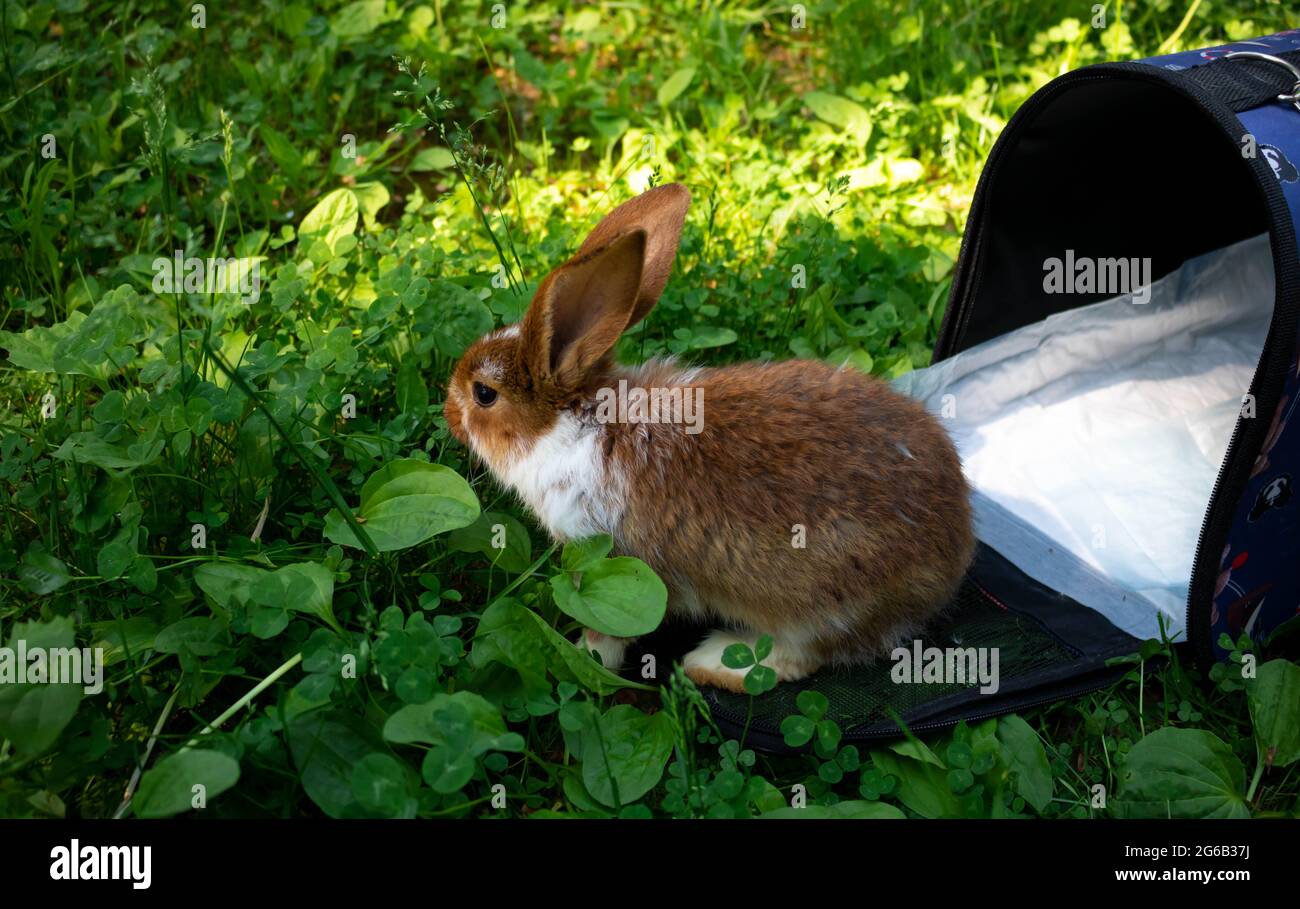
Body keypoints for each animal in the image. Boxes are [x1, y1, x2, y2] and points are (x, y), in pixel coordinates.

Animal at [444, 183, 976, 693]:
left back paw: (710, 663)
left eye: (484, 394)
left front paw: (581, 660)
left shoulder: (612, 556)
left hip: (818, 605)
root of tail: (956, 546)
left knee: (802, 655)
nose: (449, 413)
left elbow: (608, 633)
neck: (573, 423)